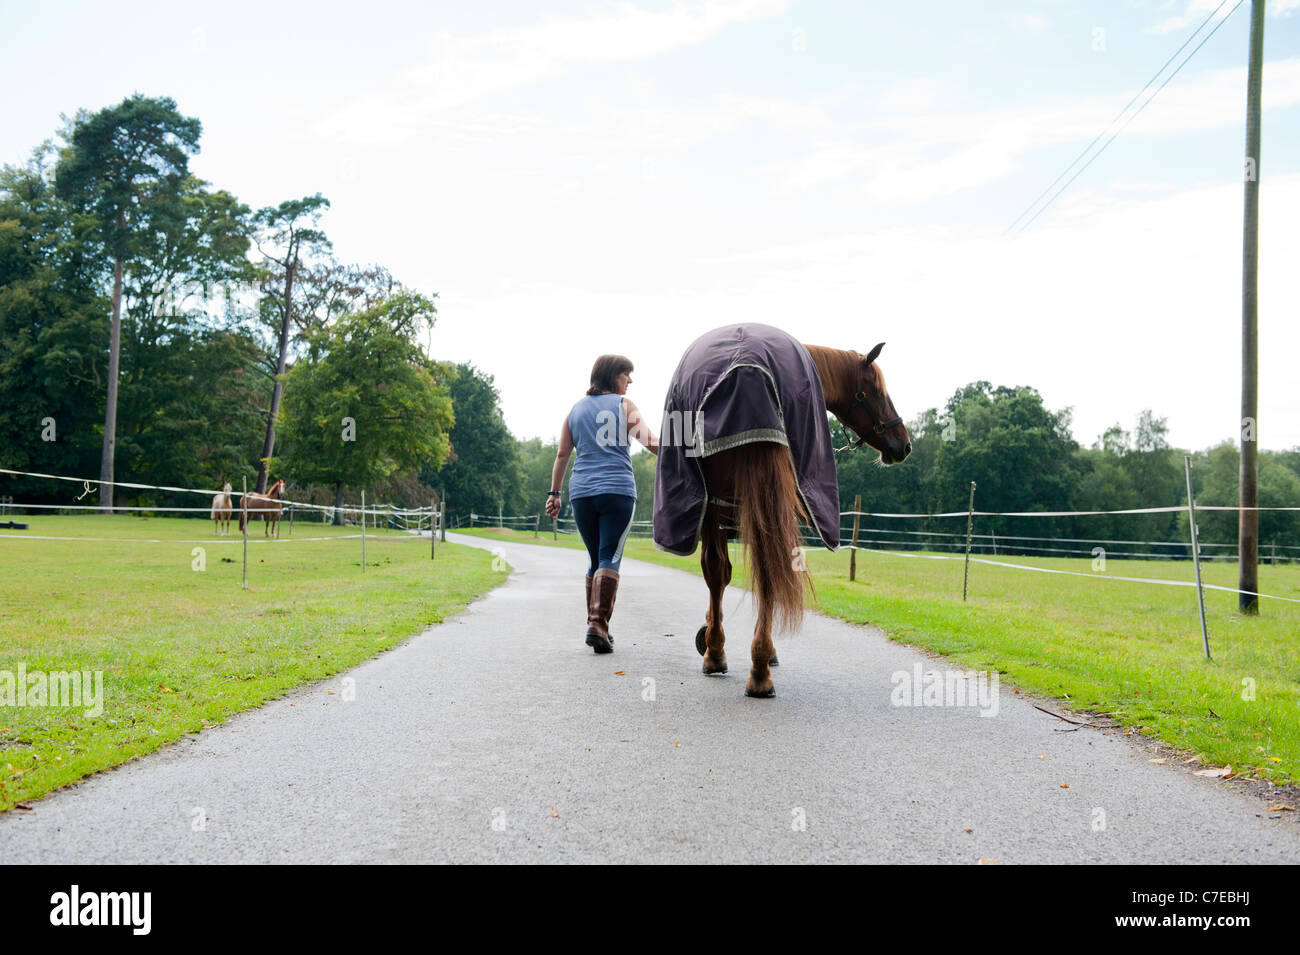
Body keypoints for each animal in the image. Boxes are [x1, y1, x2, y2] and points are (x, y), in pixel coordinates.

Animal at [653, 323, 910, 698]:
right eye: (876, 390)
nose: (903, 444)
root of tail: (747, 372)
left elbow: (724, 573)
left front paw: (715, 643)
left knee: (734, 570)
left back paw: (734, 661)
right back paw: (752, 666)